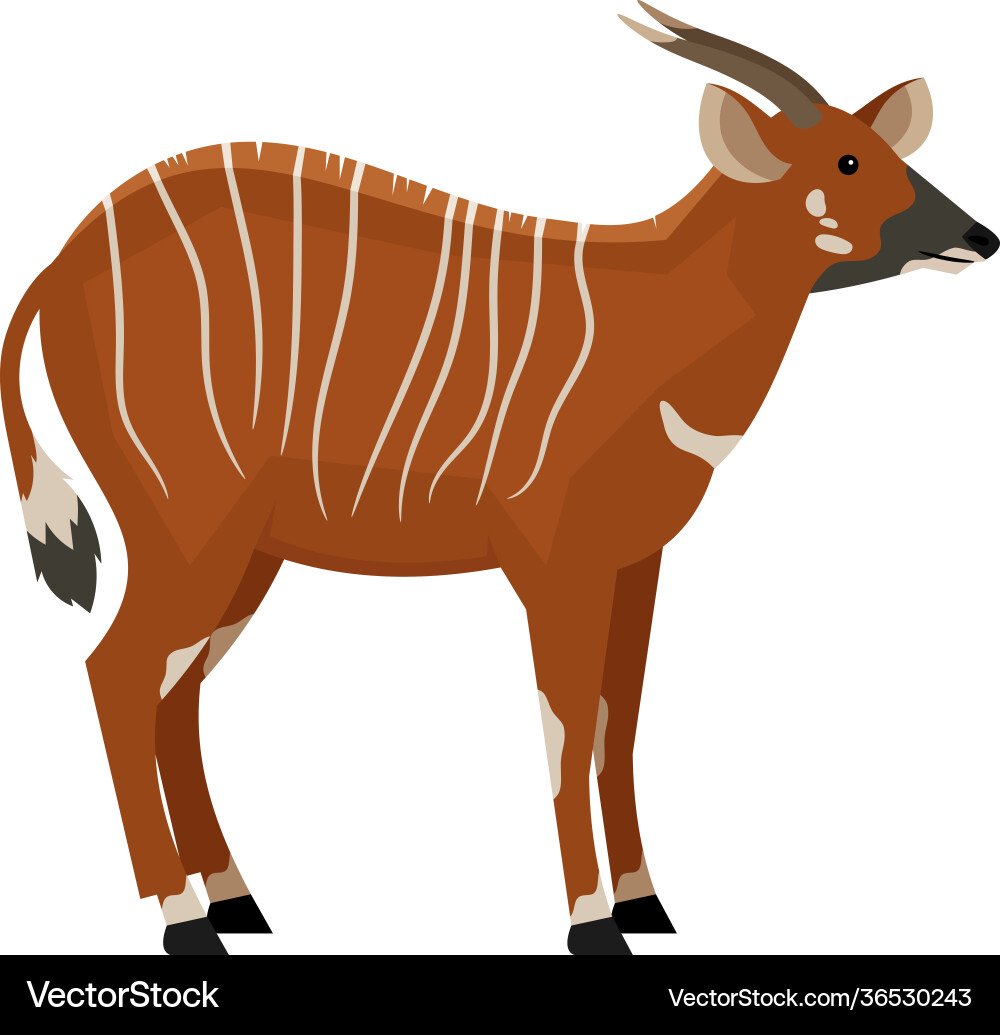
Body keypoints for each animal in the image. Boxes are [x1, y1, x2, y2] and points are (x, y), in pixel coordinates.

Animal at [1, 4, 995, 956]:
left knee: (176, 690)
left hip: (245, 548)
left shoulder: (635, 562)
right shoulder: (554, 563)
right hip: (189, 523)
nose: (976, 236)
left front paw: (647, 904)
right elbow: (564, 726)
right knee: (117, 672)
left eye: (891, 151)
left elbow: (620, 720)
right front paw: (592, 923)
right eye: (847, 159)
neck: (659, 323)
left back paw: (239, 901)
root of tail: (56, 262)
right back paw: (183, 919)